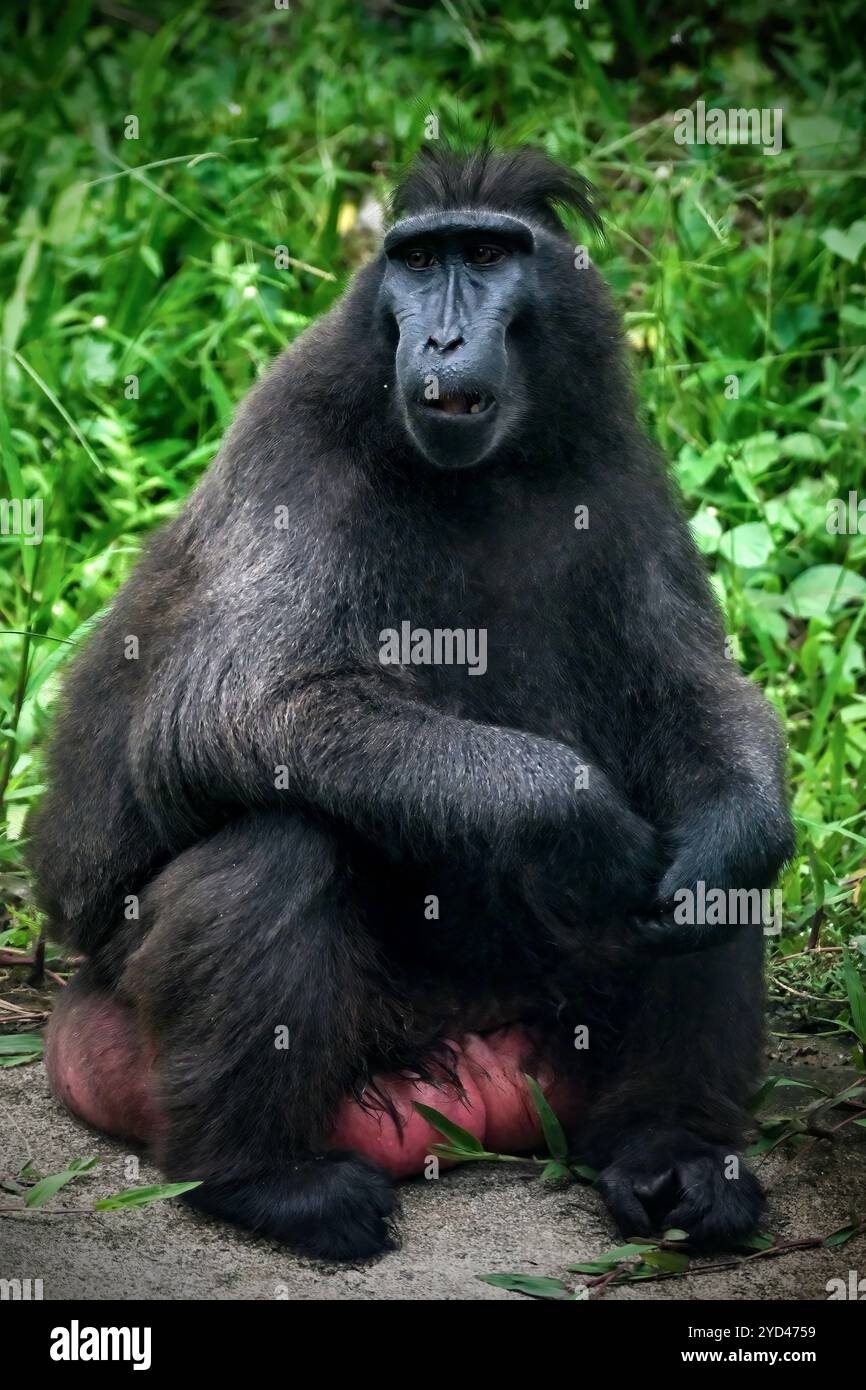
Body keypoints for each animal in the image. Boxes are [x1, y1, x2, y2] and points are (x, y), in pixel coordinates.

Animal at [28, 145, 794, 1260]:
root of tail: (449, 1041)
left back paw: (670, 1154)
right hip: (166, 987)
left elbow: (690, 705)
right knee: (281, 839)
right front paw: (573, 815)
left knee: (710, 885)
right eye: (419, 261)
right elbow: (221, 712)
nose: (440, 337)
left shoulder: (615, 460)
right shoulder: (295, 447)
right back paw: (266, 1180)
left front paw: (729, 834)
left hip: (551, 998)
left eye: (487, 255)